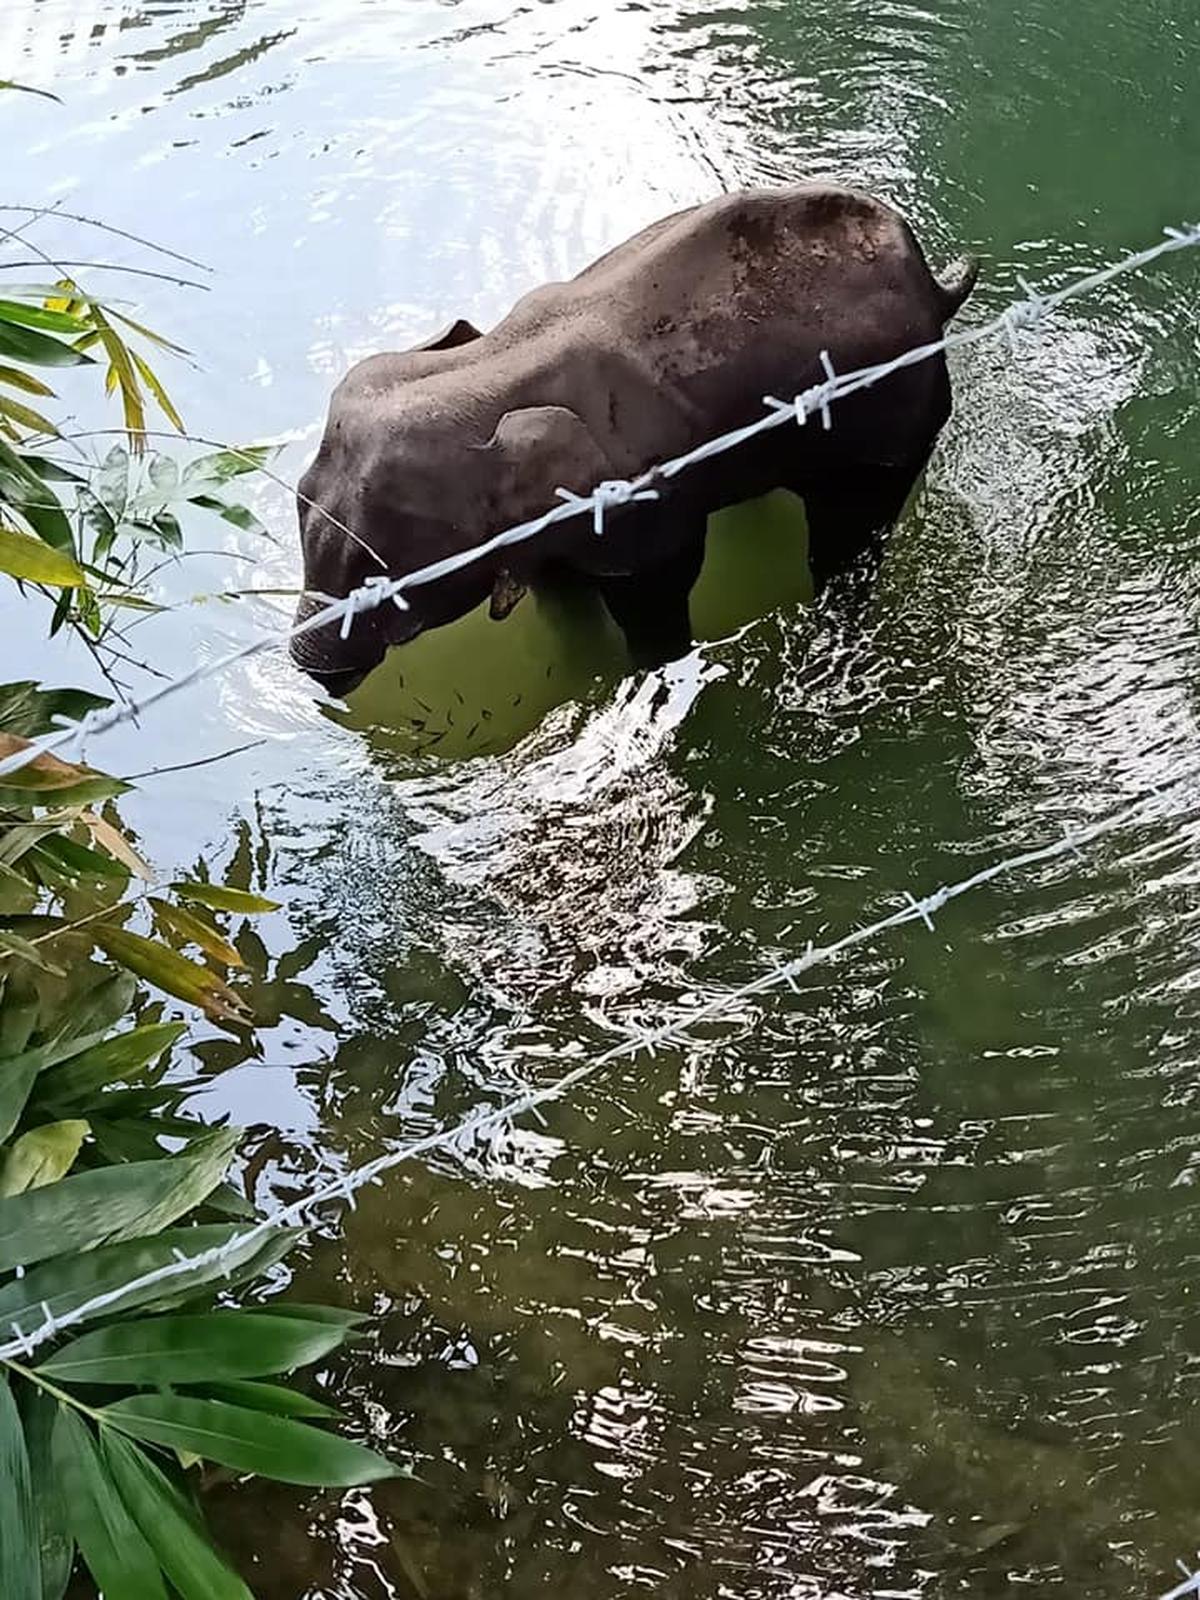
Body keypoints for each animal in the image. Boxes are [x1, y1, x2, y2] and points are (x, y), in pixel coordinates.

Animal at [290, 183, 978, 695]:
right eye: (299, 498)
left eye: (384, 576)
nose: (313, 672)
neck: (495, 367)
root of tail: (935, 286)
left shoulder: (641, 502)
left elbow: (659, 589)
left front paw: (648, 672)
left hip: (896, 412)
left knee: (850, 530)